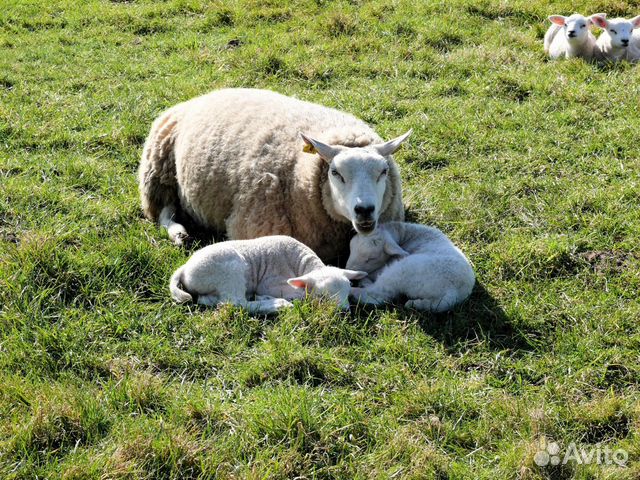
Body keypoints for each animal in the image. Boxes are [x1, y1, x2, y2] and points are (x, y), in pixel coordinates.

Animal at [139, 88, 410, 263]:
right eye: (335, 173)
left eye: (383, 171)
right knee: (164, 211)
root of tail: (203, 96)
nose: (364, 210)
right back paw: (178, 233)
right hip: (159, 171)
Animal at [170, 235, 367, 314]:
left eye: (347, 292)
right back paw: (277, 305)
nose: (344, 312)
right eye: (322, 296)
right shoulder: (270, 282)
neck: (303, 264)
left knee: (210, 300)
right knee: (235, 303)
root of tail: (185, 269)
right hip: (229, 271)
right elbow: (302, 294)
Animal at [345, 222, 475, 312]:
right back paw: (414, 304)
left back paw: (355, 286)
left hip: (403, 270)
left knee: (378, 294)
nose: (349, 268)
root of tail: (453, 292)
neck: (406, 233)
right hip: (437, 301)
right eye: (350, 249)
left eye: (371, 259)